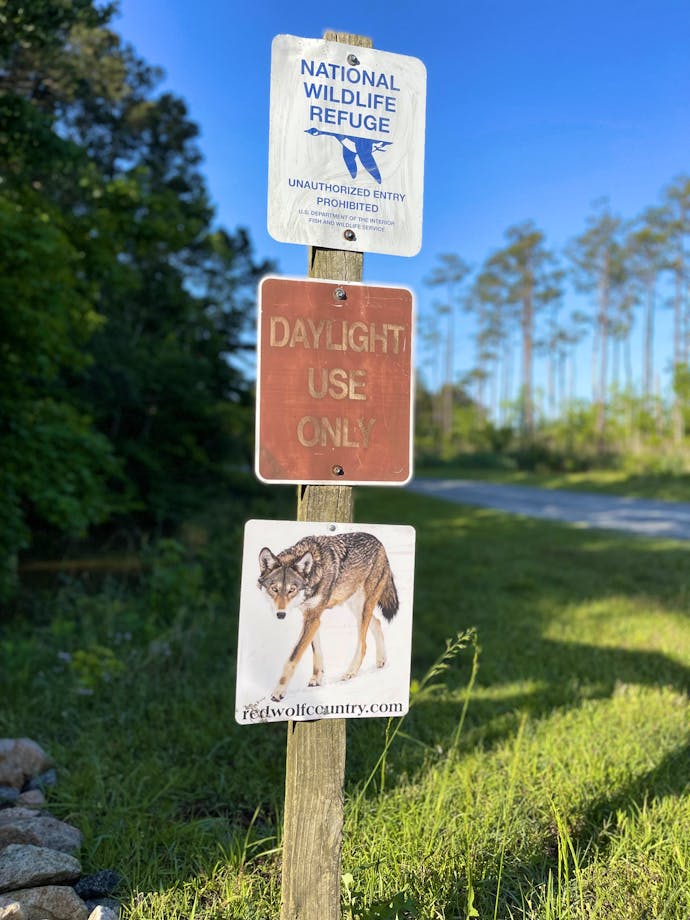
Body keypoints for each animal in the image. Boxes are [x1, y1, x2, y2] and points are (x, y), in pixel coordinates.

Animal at [257, 531, 399, 701]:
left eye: (292, 590)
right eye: (275, 589)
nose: (281, 614)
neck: (315, 571)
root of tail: (379, 542)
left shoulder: (313, 617)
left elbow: (293, 657)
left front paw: (278, 692)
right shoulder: (311, 616)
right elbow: (316, 651)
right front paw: (317, 678)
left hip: (363, 607)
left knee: (363, 644)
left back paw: (351, 672)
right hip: (356, 607)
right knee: (377, 623)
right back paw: (381, 660)